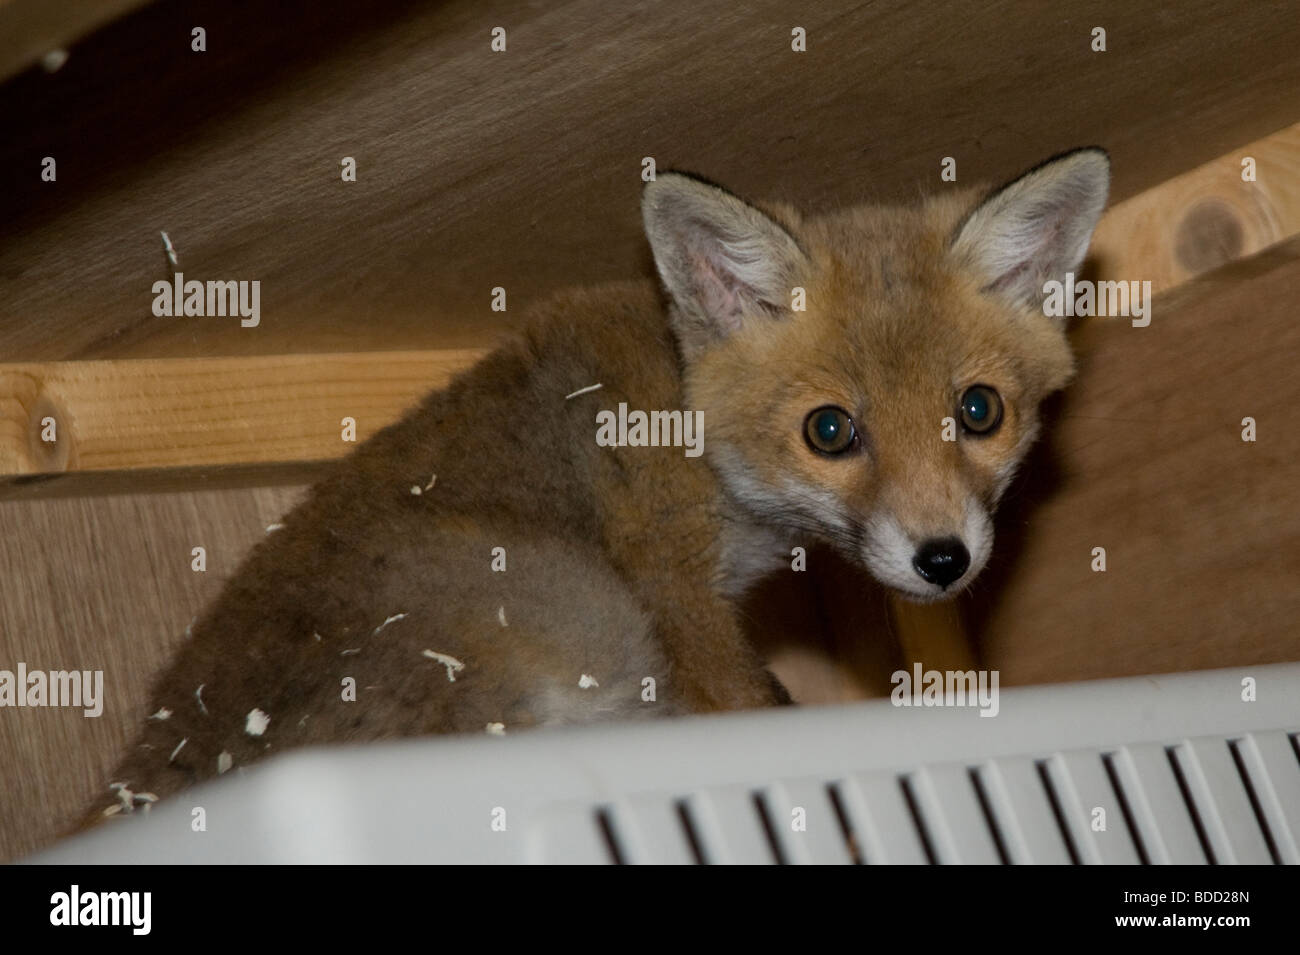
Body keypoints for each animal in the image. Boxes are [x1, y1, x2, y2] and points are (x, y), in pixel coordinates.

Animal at [76, 148, 1109, 827]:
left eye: (978, 411)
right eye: (830, 431)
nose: (944, 561)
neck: (684, 415)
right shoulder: (672, 590)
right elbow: (759, 703)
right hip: (586, 609)